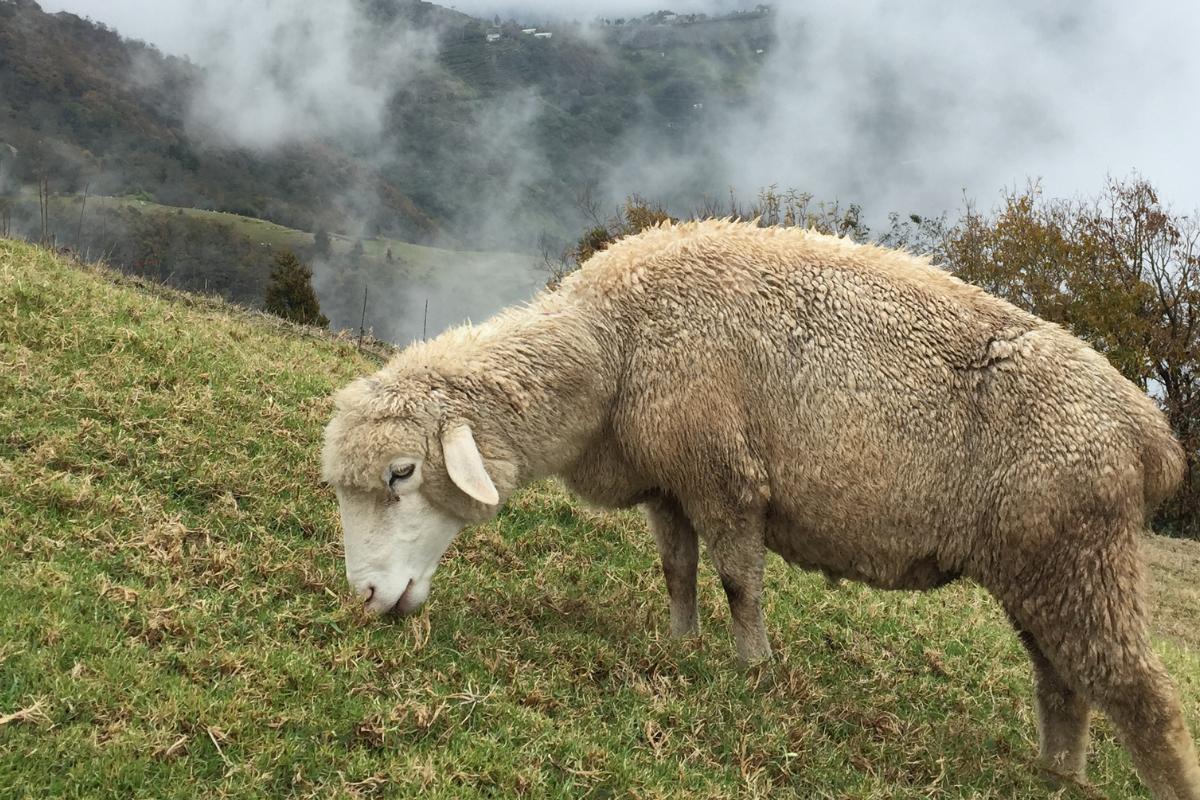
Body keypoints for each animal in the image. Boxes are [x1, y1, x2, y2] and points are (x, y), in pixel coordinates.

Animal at [321, 219, 1199, 799]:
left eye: (402, 473)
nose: (365, 598)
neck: (613, 347)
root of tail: (1147, 432)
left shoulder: (724, 475)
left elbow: (739, 580)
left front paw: (751, 668)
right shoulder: (669, 483)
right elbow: (677, 570)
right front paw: (680, 644)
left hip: (1080, 556)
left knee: (1144, 698)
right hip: (1043, 566)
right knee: (1066, 686)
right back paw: (1057, 777)